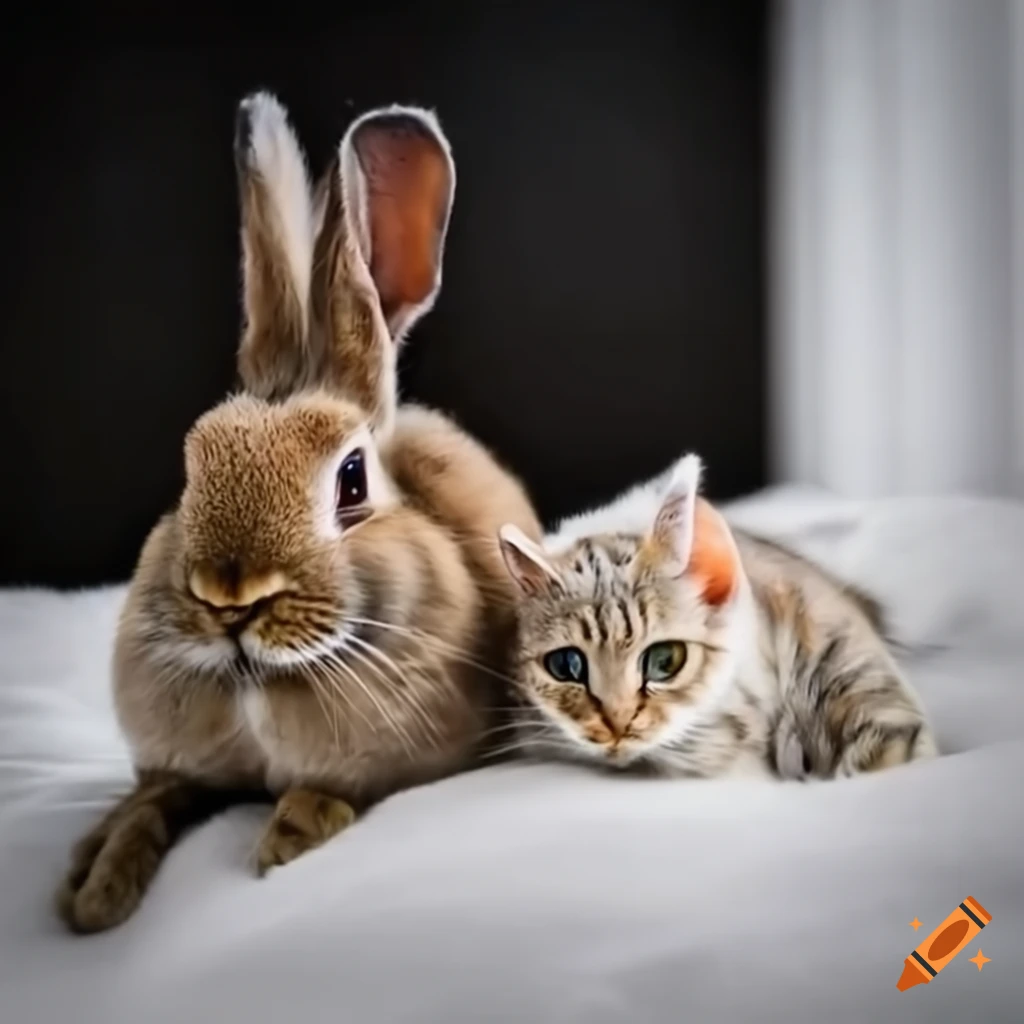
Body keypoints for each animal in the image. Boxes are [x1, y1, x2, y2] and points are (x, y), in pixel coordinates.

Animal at [56, 92, 541, 934]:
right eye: (189, 472)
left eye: (351, 482)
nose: (231, 598)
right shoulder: (177, 769)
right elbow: (154, 797)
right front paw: (95, 881)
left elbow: (329, 794)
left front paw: (289, 835)